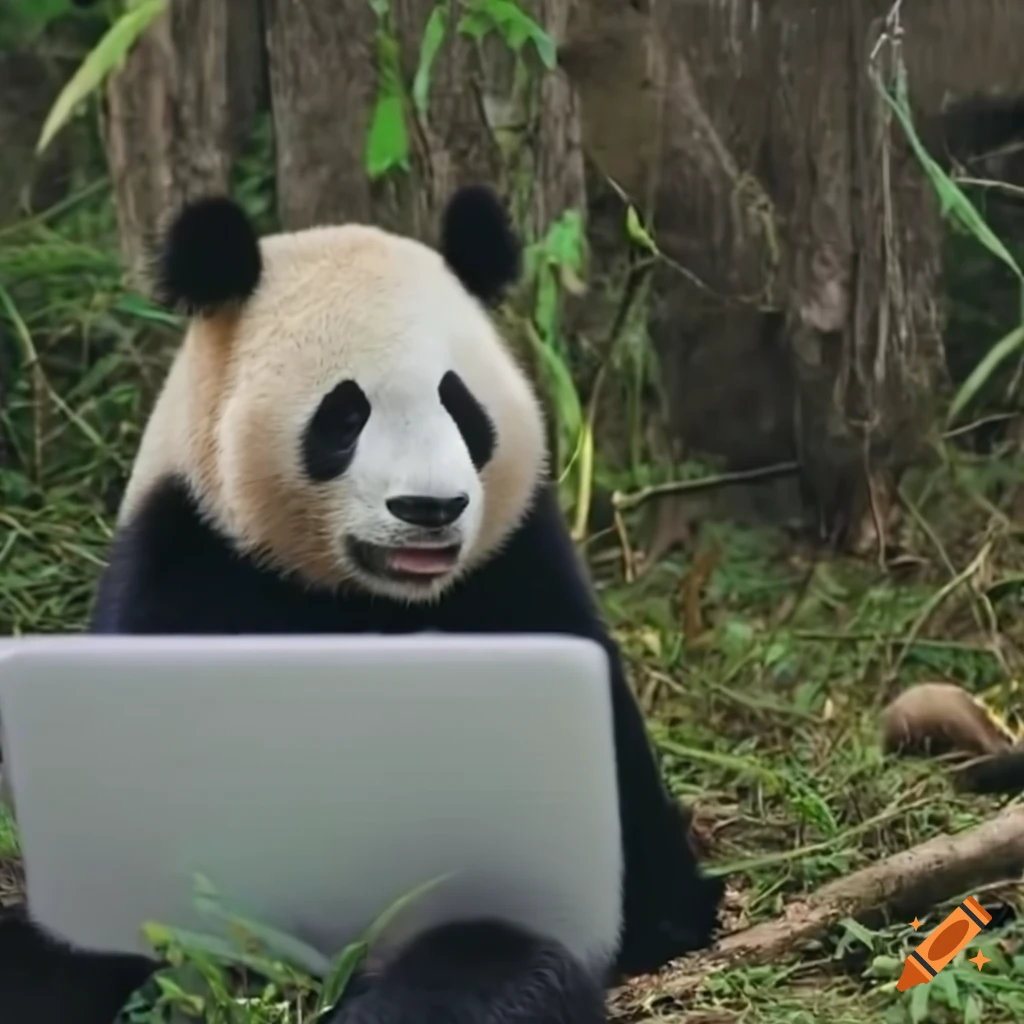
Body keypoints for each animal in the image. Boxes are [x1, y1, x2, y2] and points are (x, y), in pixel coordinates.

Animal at [1, 184, 724, 1023]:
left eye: (460, 406)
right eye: (345, 417)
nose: (429, 508)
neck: (365, 596)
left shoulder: (524, 575)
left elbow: (651, 892)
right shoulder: (184, 557)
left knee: (489, 959)